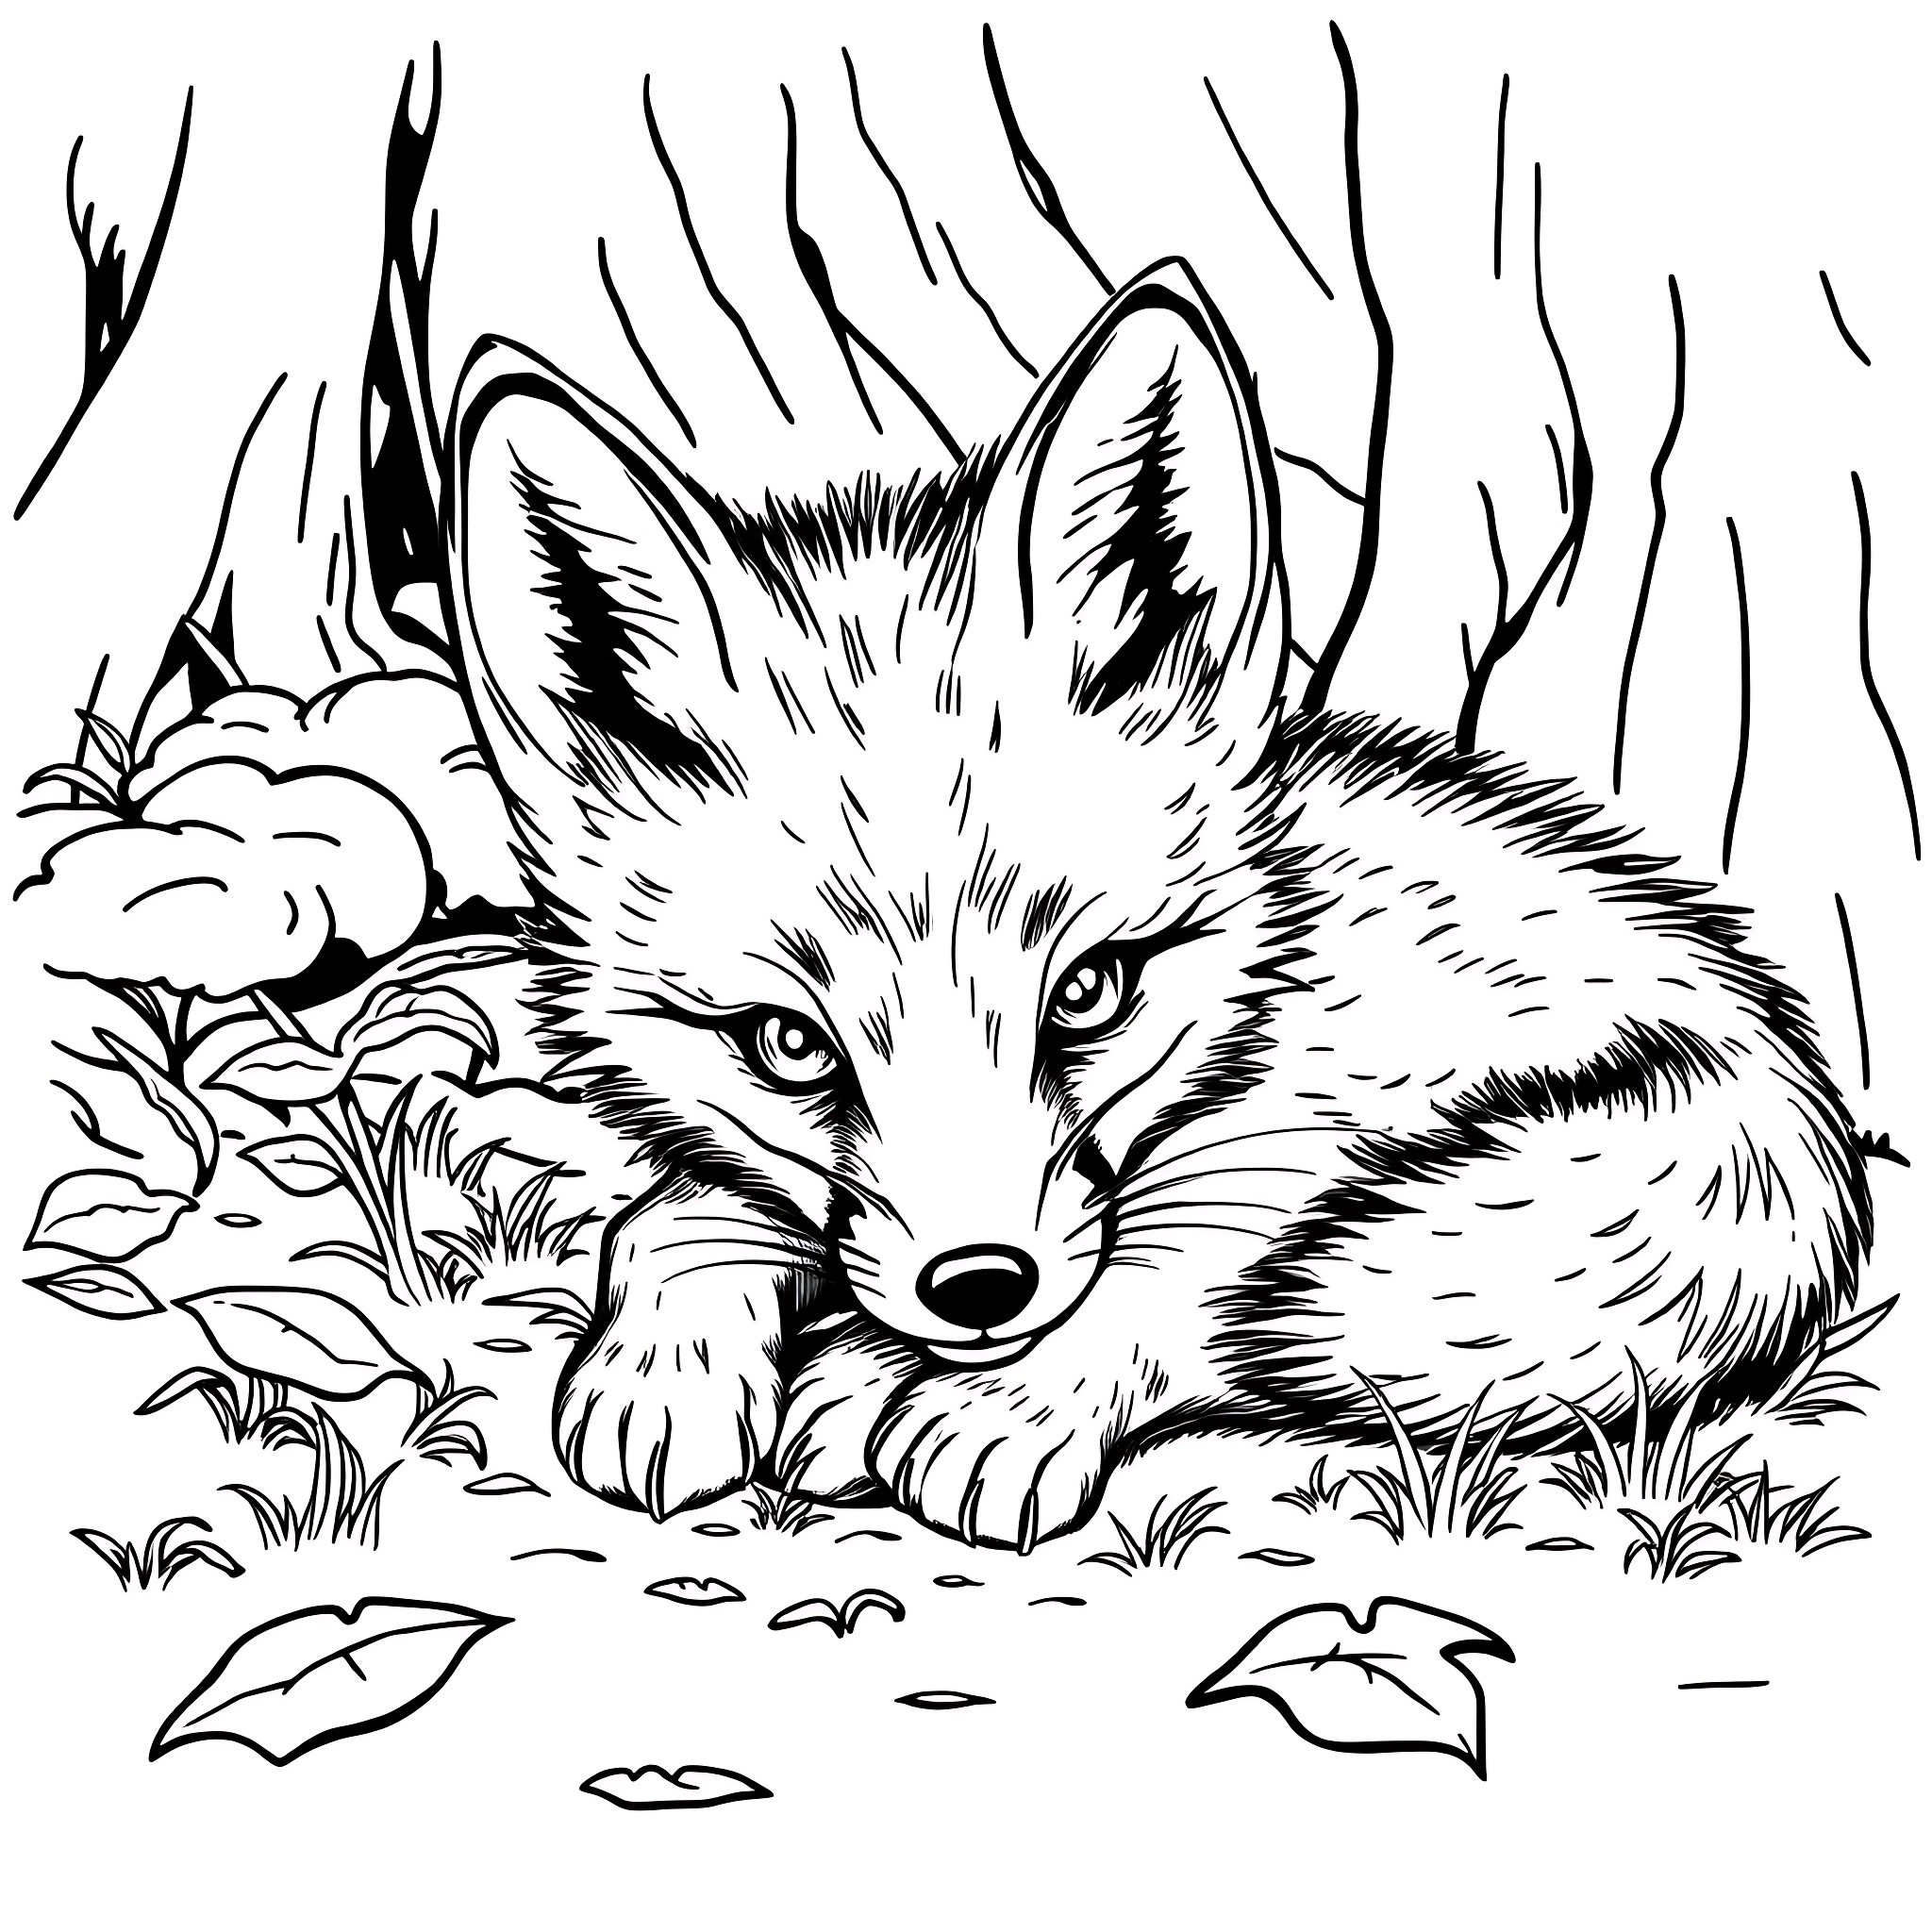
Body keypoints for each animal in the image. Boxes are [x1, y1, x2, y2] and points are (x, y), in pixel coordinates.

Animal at [444, 258, 1870, 1551]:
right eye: (790, 1043)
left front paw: (1003, 1403)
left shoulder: (1295, 1144)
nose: (978, 1289)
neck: (1267, 1002)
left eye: (1089, 990)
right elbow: (676, 1219)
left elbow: (1167, 1279)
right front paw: (666, 1359)